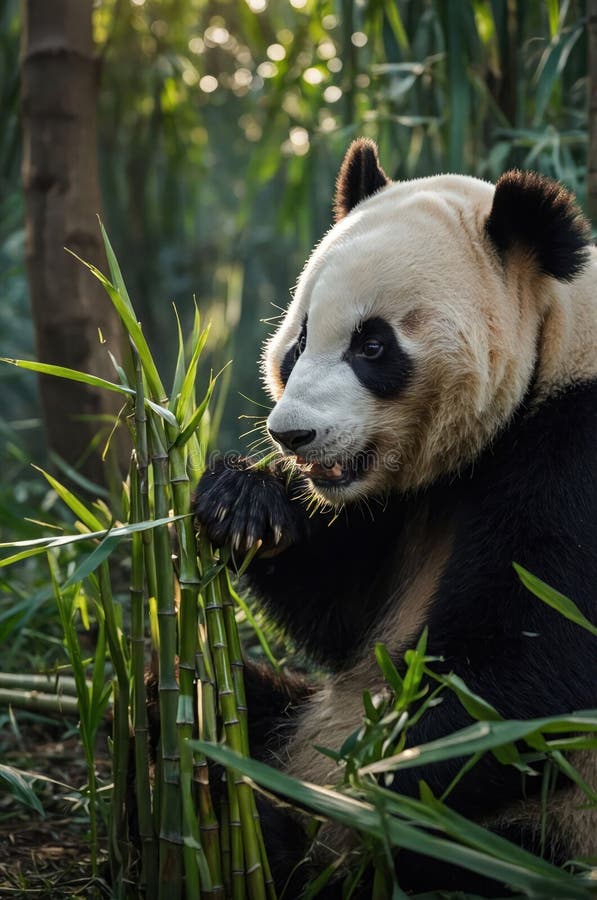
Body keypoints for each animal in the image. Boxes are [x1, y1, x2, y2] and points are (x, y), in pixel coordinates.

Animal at [194, 139, 597, 896]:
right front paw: (244, 503)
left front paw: (354, 797)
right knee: (216, 699)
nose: (291, 435)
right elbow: (346, 617)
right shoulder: (400, 510)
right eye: (298, 342)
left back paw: (282, 832)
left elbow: (529, 672)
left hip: (562, 822)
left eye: (372, 346)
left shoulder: (576, 456)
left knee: (483, 857)